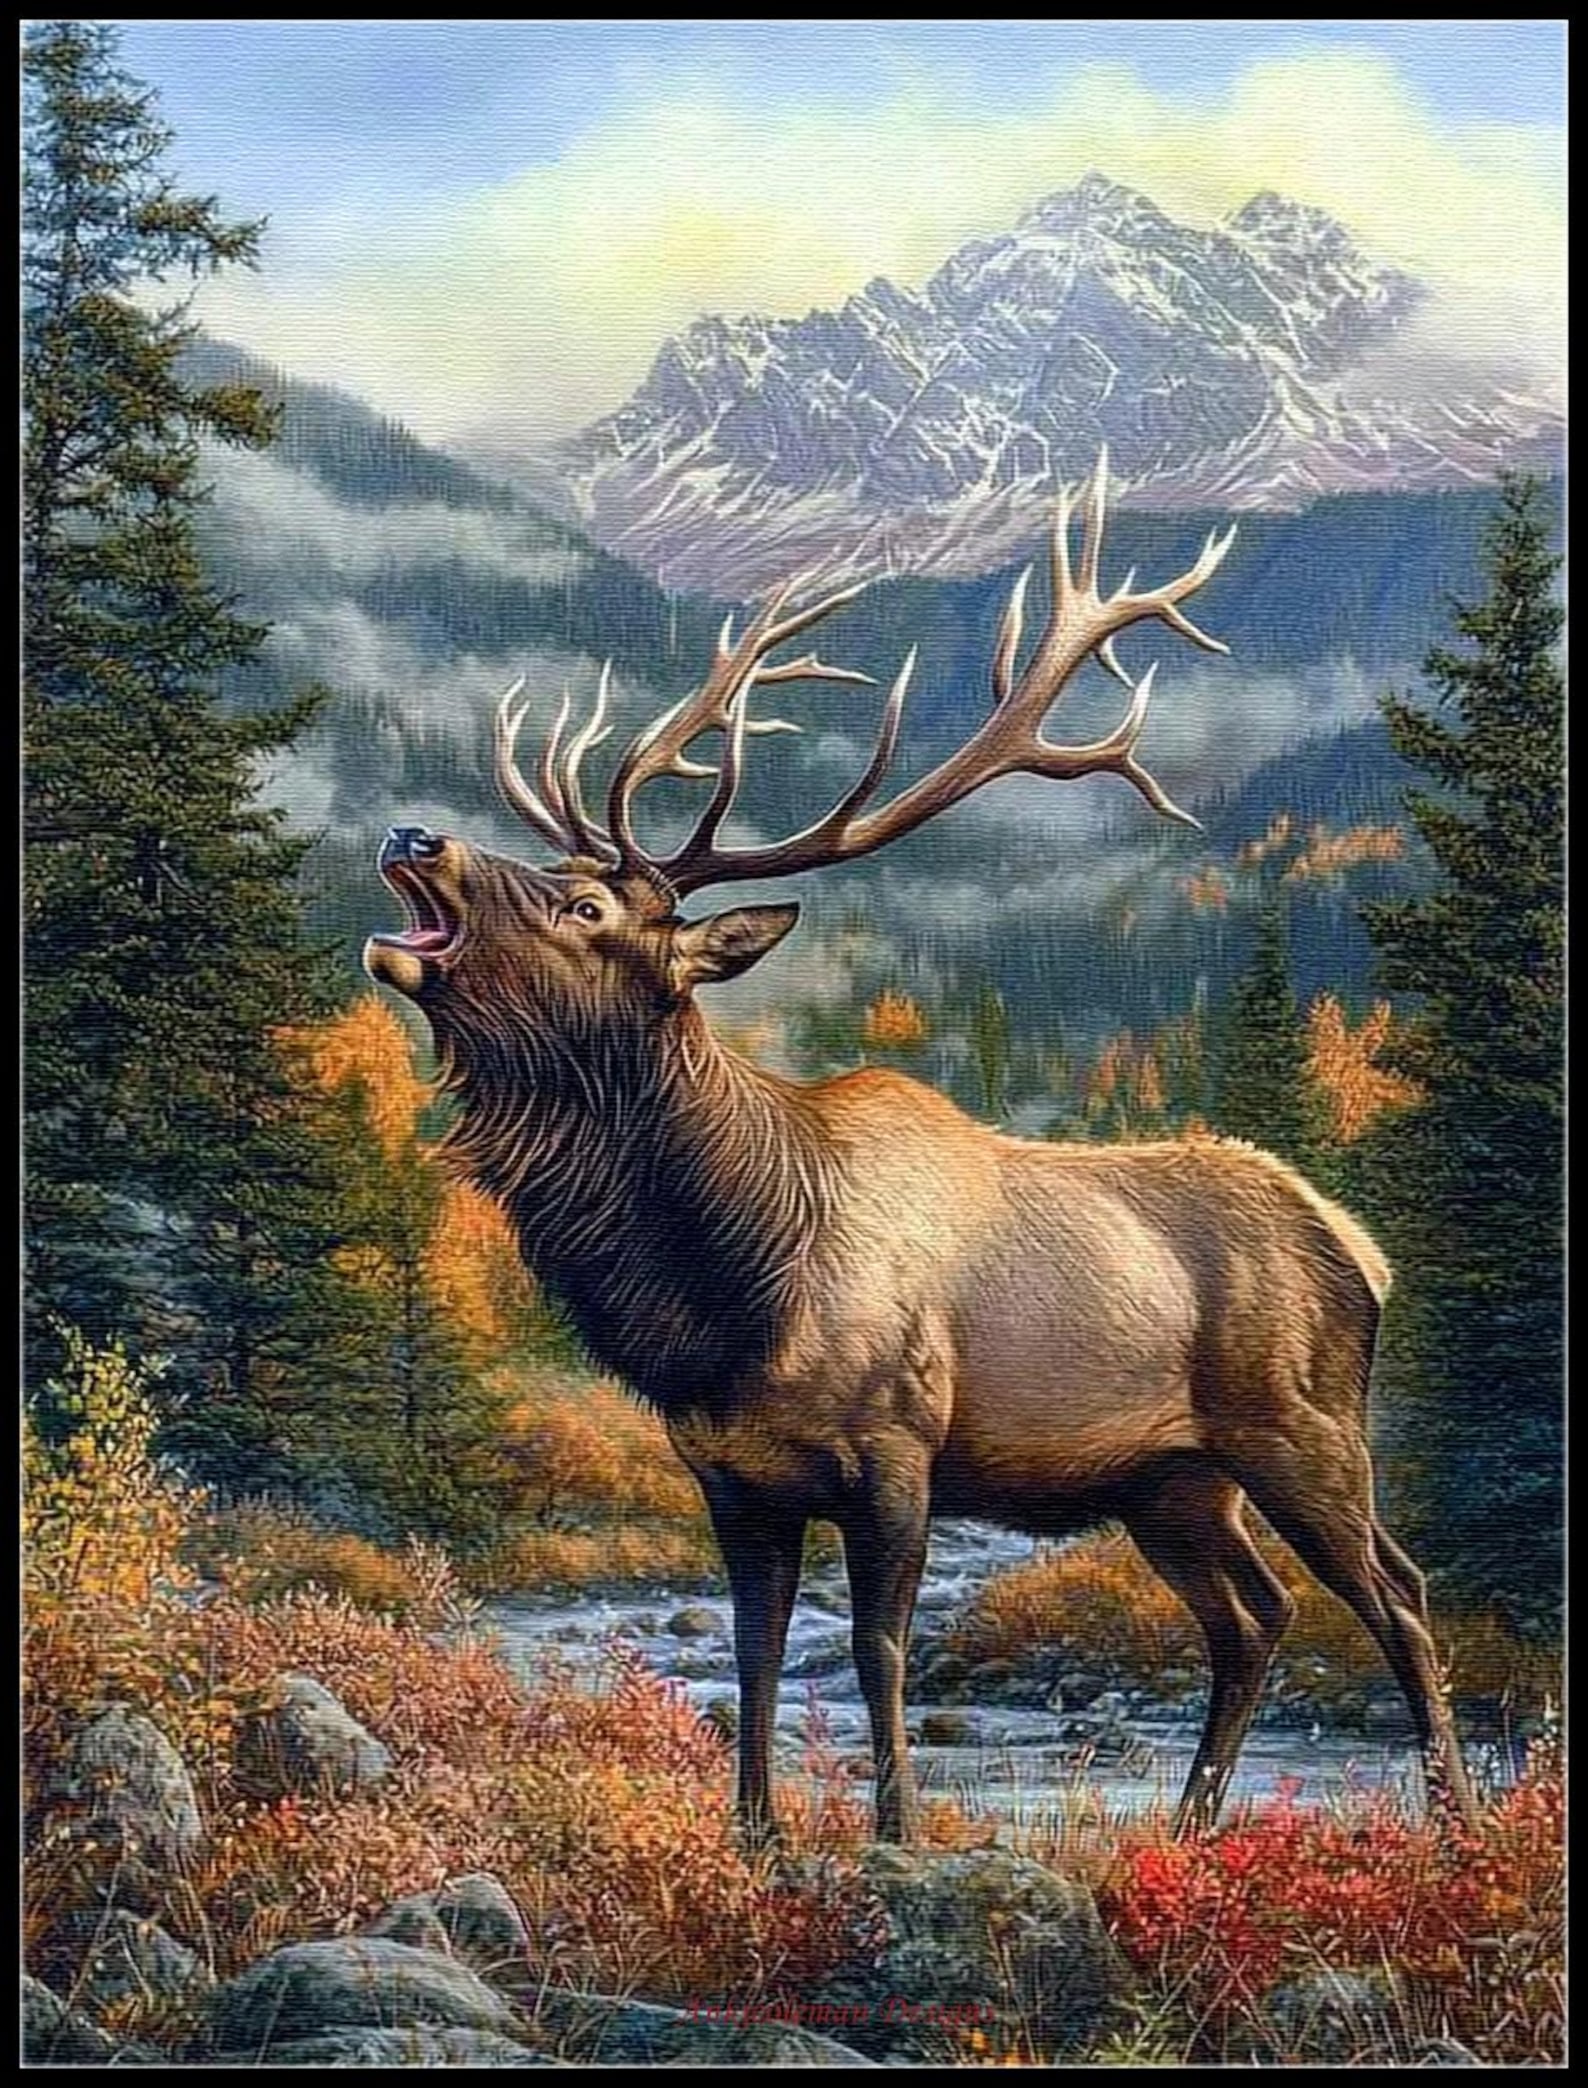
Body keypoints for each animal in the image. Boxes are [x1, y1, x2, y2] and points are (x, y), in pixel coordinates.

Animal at [364, 453, 1477, 1850]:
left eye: (586, 905)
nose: (413, 837)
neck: (725, 1293)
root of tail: (1363, 1249)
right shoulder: (731, 1476)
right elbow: (757, 1655)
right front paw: (757, 1836)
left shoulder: (897, 1448)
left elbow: (879, 1648)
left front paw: (891, 1833)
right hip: (1168, 1481)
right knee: (1253, 1614)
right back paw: (1184, 1827)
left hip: (1303, 1428)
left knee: (1400, 1591)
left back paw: (1454, 1825)